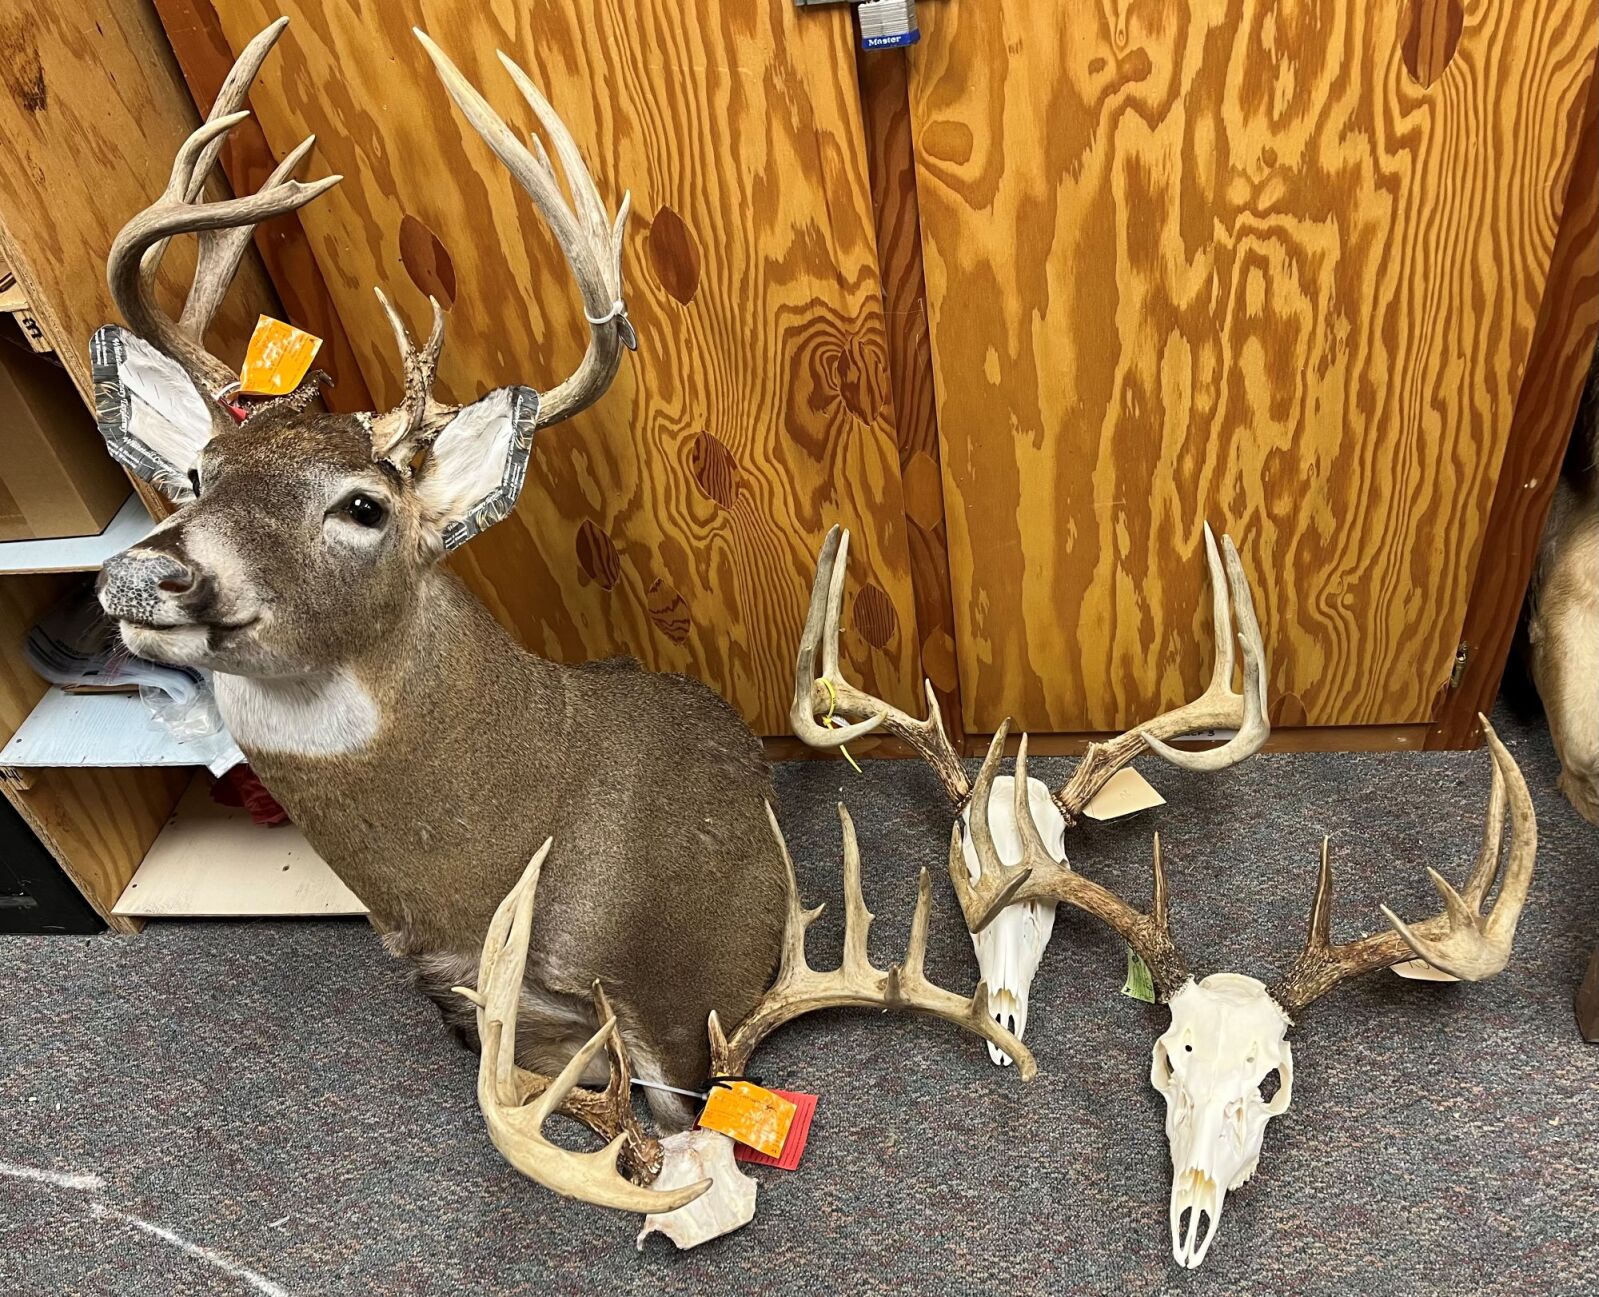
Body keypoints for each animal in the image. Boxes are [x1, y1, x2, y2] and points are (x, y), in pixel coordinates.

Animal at [91, 20, 1030, 1233]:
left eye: (362, 505)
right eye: (199, 473)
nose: (148, 571)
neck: (484, 865)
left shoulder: (669, 990)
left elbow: (678, 1119)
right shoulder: (454, 995)